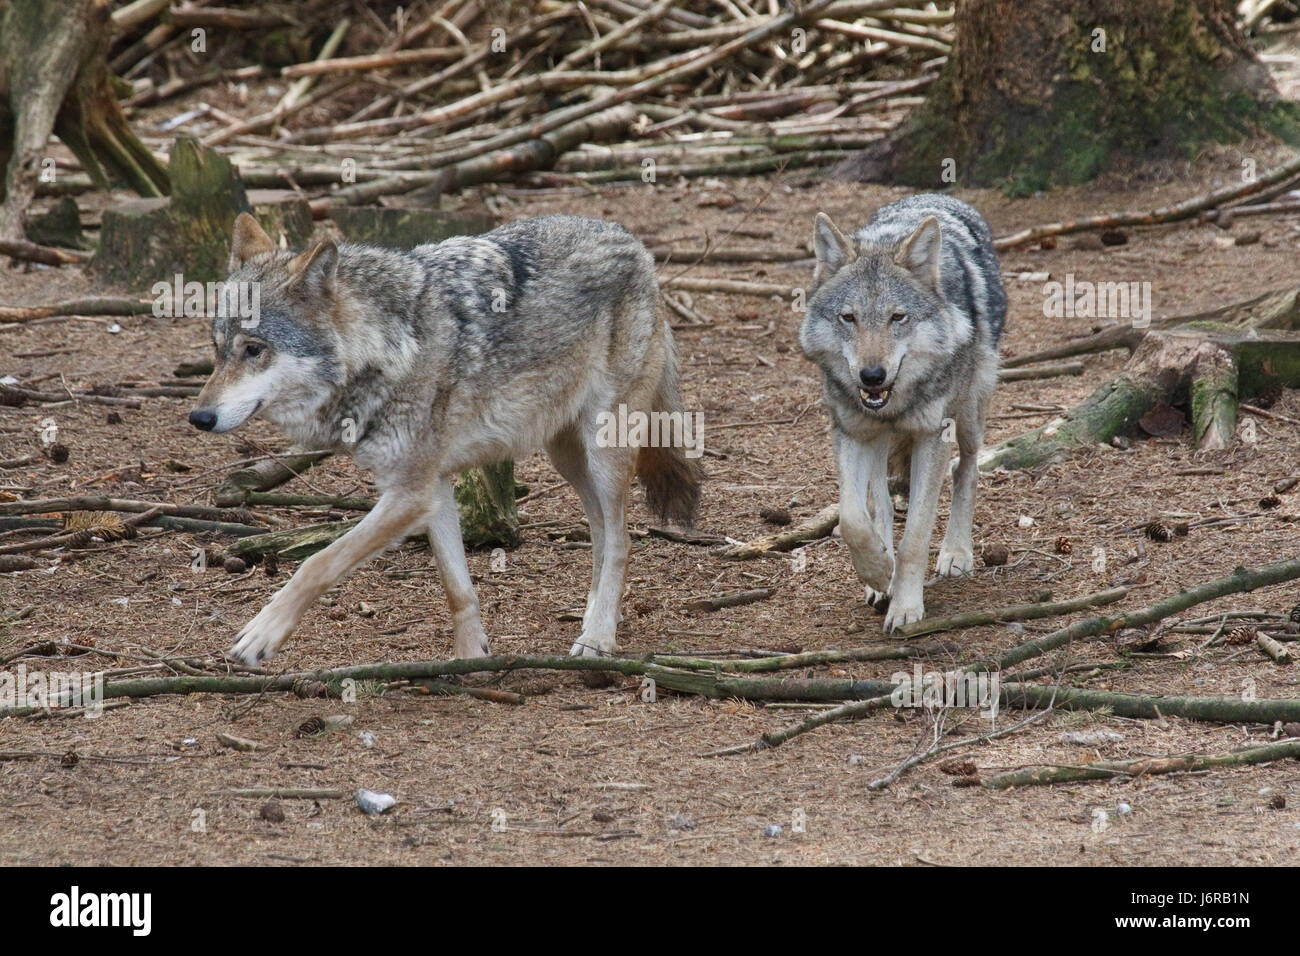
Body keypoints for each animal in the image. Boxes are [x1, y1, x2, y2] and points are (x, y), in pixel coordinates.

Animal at [191, 212, 702, 665]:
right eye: (217, 351)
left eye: (254, 349)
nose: (200, 416)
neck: (388, 348)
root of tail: (631, 240)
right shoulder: (433, 489)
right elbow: (457, 589)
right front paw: (467, 662)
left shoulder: (409, 493)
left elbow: (318, 562)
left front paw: (261, 634)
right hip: (566, 455)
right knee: (600, 535)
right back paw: (595, 618)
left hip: (603, 448)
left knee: (621, 541)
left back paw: (597, 638)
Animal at [798, 194, 1006, 632]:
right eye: (849, 317)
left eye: (898, 317)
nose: (872, 375)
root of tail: (939, 197)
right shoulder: (850, 432)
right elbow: (852, 519)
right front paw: (878, 573)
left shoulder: (932, 436)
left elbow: (915, 537)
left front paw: (906, 607)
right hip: (878, 443)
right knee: (880, 502)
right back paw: (882, 577)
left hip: (969, 416)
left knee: (966, 469)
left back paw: (956, 553)